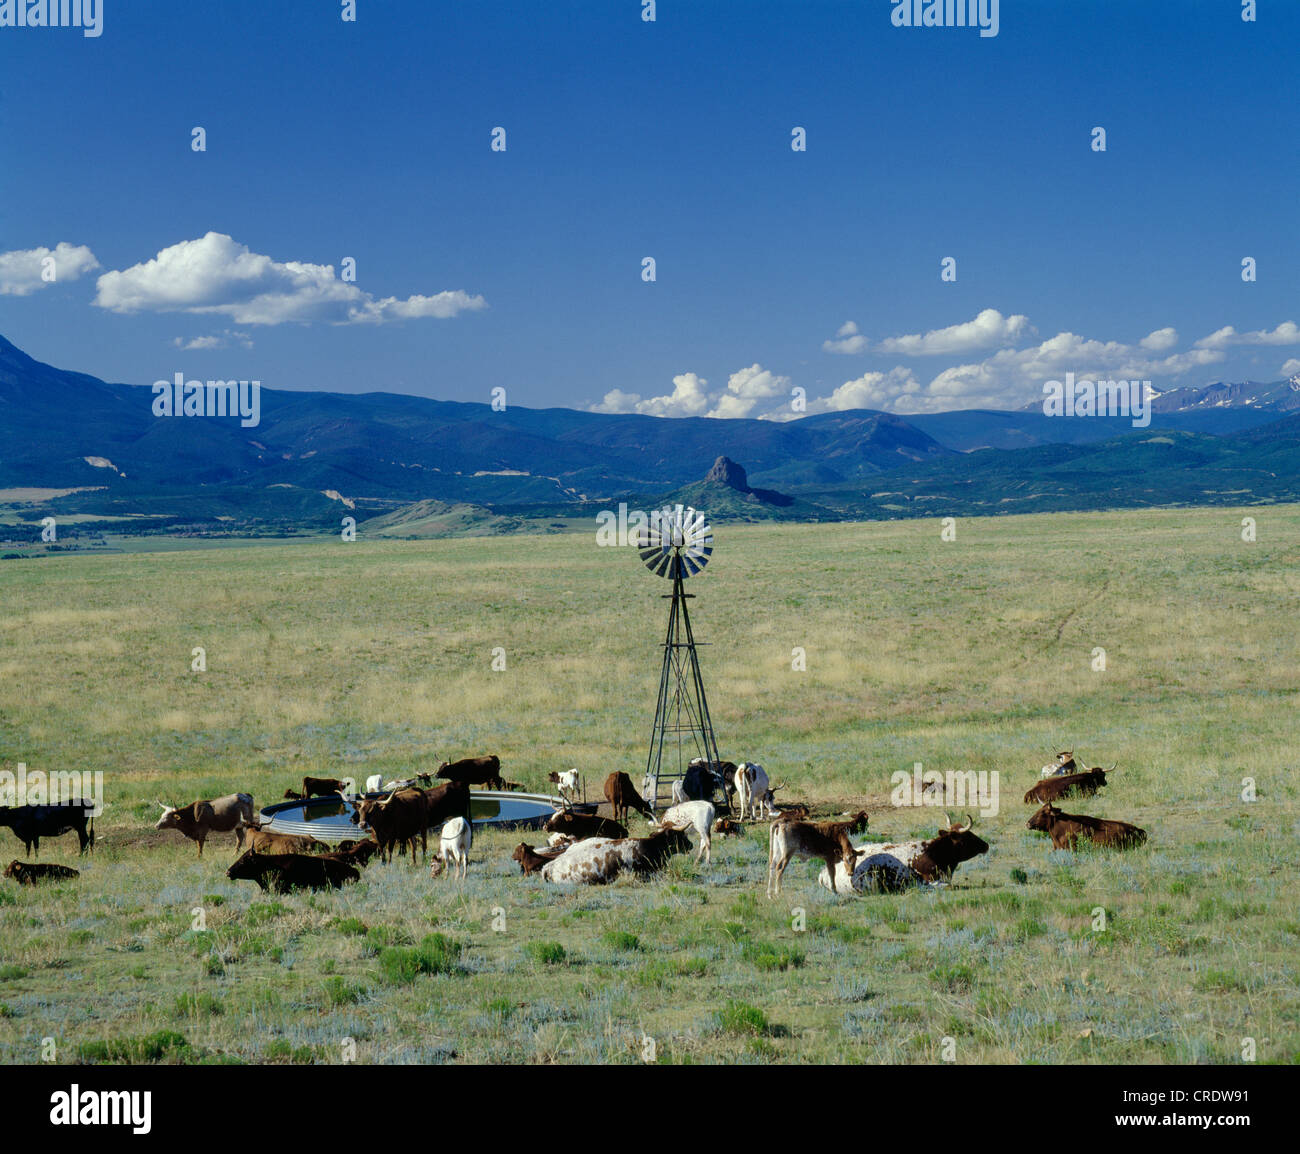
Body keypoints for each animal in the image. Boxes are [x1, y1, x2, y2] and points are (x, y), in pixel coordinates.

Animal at [820, 814, 990, 894]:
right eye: (968, 836)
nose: (986, 845)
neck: (933, 851)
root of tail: (823, 874)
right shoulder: (930, 880)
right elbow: (947, 886)